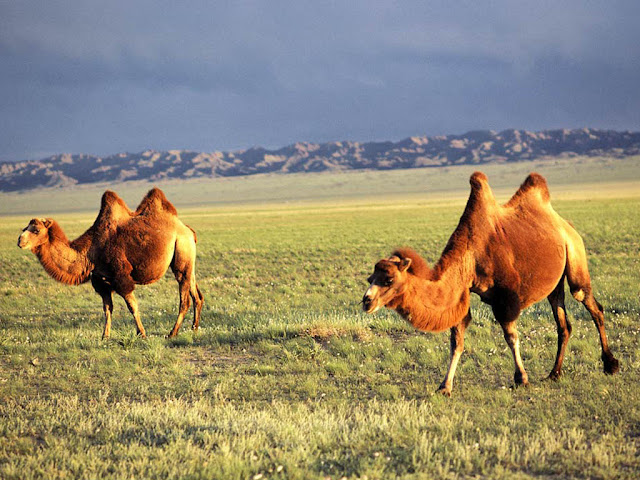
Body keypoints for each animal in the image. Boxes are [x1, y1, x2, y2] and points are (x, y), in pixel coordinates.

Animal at [18, 188, 203, 338]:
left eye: (36, 230)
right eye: (24, 228)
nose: (20, 241)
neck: (91, 252)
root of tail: (188, 230)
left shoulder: (121, 277)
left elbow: (132, 306)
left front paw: (142, 334)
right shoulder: (101, 282)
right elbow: (107, 309)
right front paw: (104, 337)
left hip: (181, 250)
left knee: (184, 298)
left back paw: (172, 333)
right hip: (188, 259)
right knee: (196, 294)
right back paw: (194, 328)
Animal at [362, 172, 619, 396]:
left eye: (389, 279)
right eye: (369, 278)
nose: (366, 301)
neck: (470, 257)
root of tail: (566, 224)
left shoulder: (505, 299)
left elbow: (511, 337)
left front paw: (521, 378)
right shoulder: (462, 294)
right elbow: (456, 342)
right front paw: (445, 386)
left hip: (575, 255)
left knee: (590, 303)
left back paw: (610, 364)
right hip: (555, 281)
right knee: (563, 323)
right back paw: (554, 373)